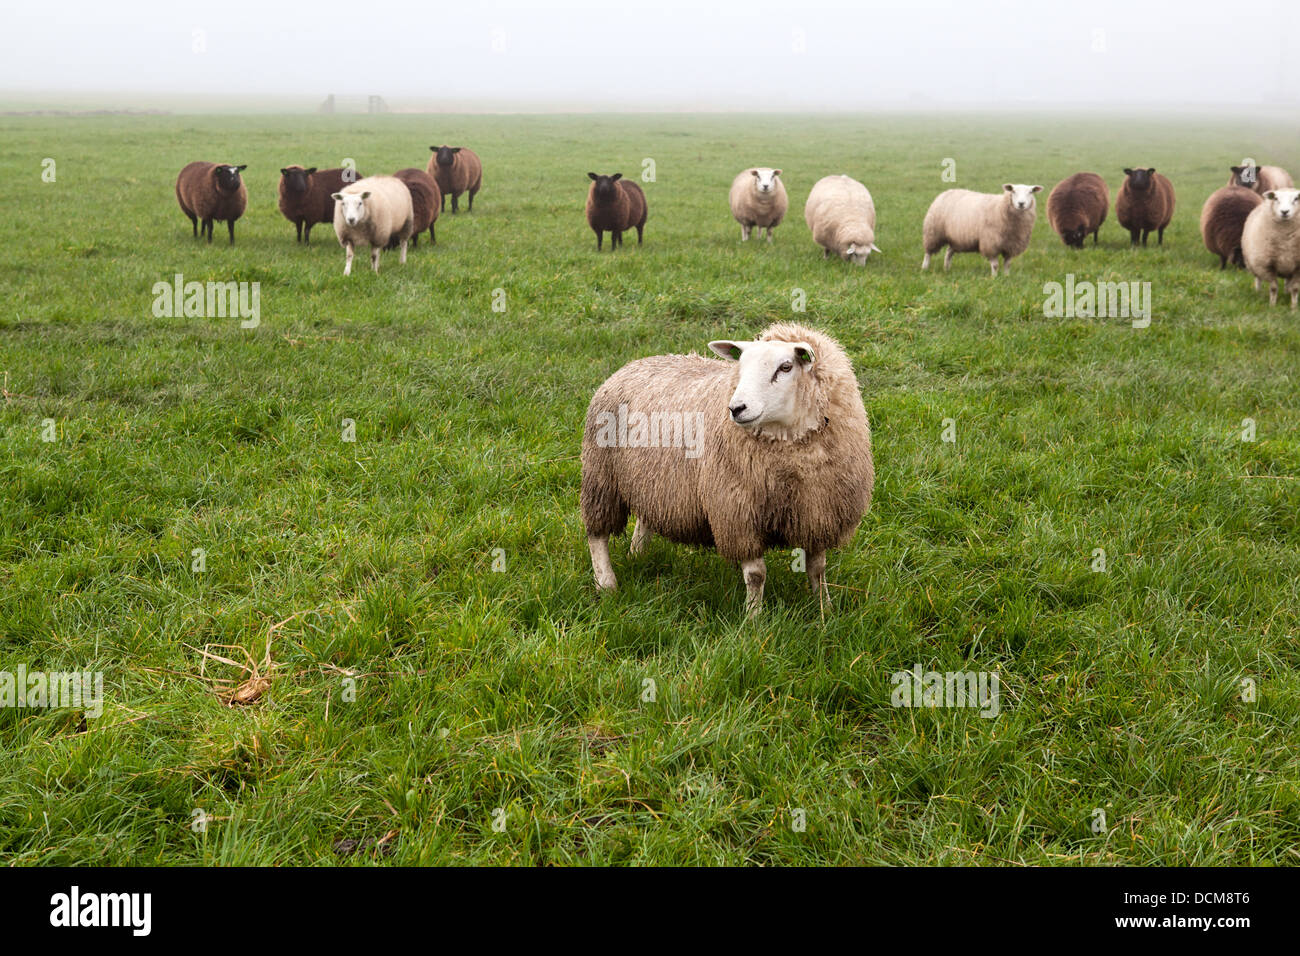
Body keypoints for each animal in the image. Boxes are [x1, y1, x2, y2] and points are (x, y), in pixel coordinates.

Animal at [580, 322, 874, 614]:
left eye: (786, 367)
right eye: (740, 367)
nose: (736, 408)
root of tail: (633, 363)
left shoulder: (818, 513)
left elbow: (817, 569)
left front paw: (825, 609)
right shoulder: (738, 513)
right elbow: (756, 575)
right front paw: (753, 618)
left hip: (654, 481)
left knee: (646, 516)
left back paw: (637, 554)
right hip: (600, 477)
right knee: (597, 535)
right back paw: (606, 584)